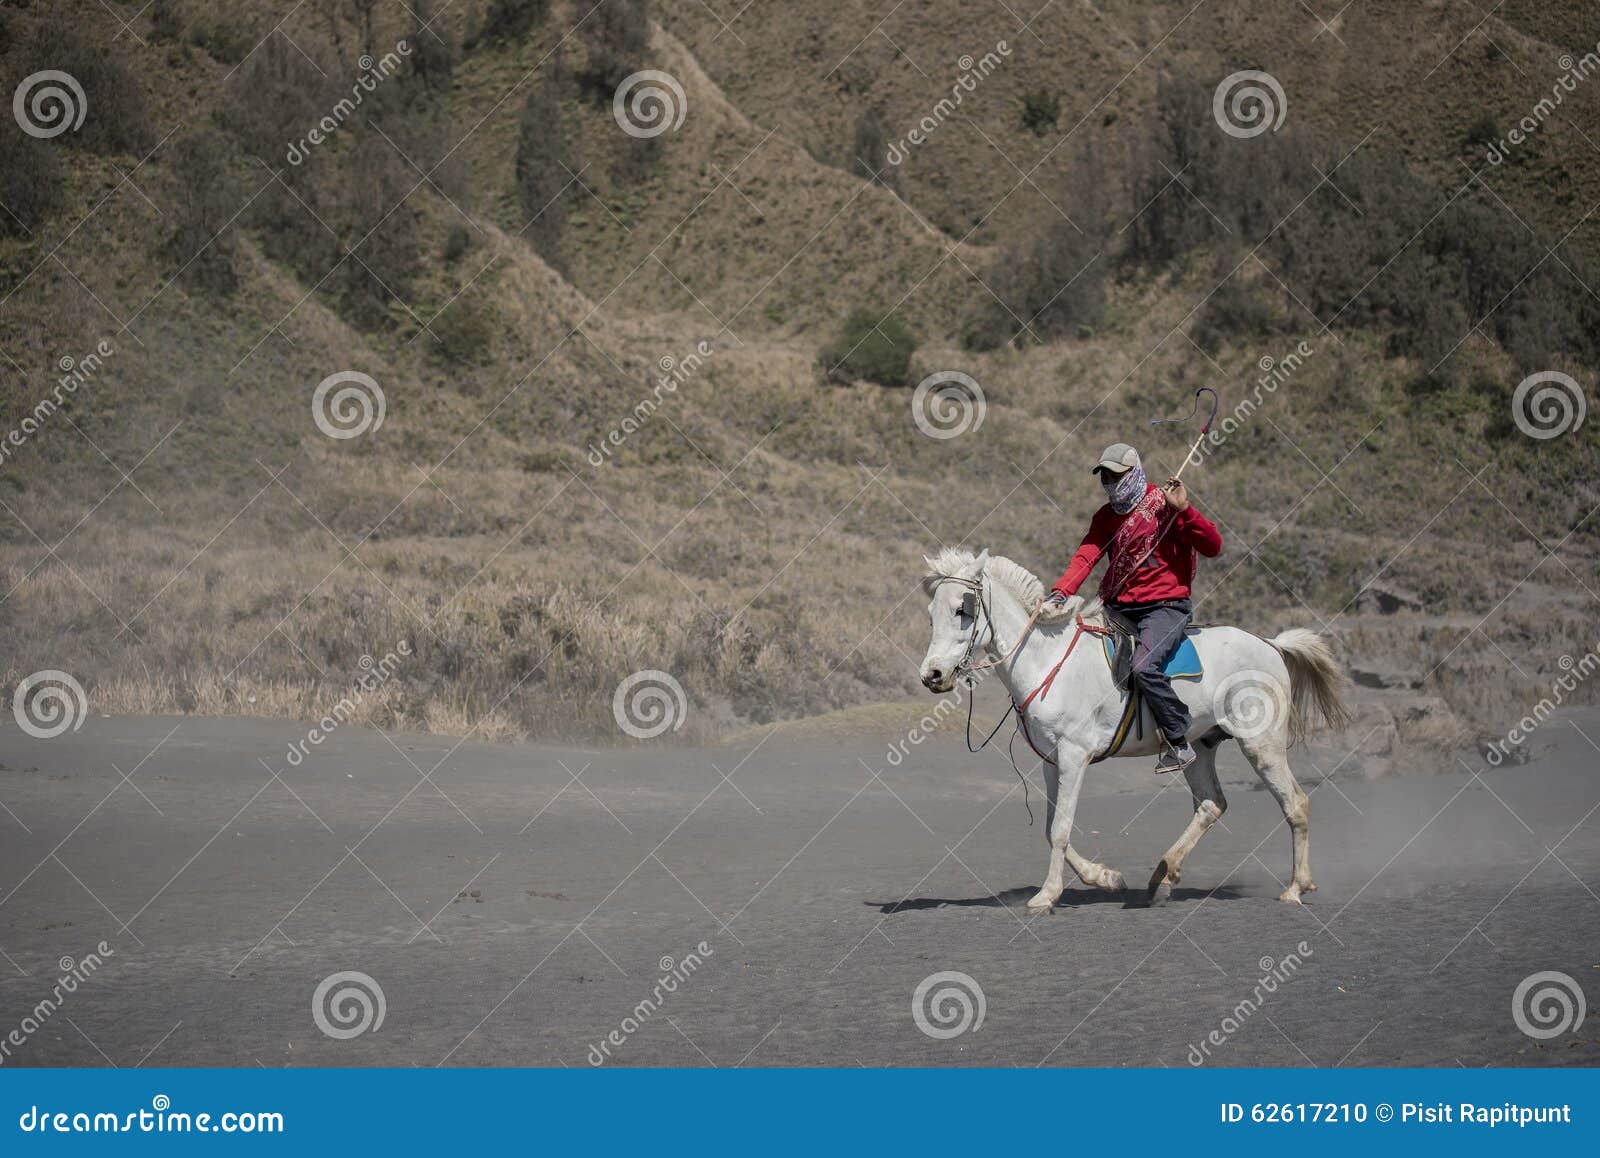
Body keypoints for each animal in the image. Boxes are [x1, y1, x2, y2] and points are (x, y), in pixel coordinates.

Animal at [917, 547, 1351, 913]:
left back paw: (1295, 888)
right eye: (932, 613)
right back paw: (1162, 878)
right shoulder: (1052, 761)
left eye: (963, 610)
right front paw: (1106, 878)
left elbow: (1060, 828)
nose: (932, 675)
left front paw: (1046, 896)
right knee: (1211, 804)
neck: (1046, 660)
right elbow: (1051, 828)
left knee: (1295, 803)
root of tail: (1270, 645)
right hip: (1197, 747)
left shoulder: (1074, 756)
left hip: (1262, 744)